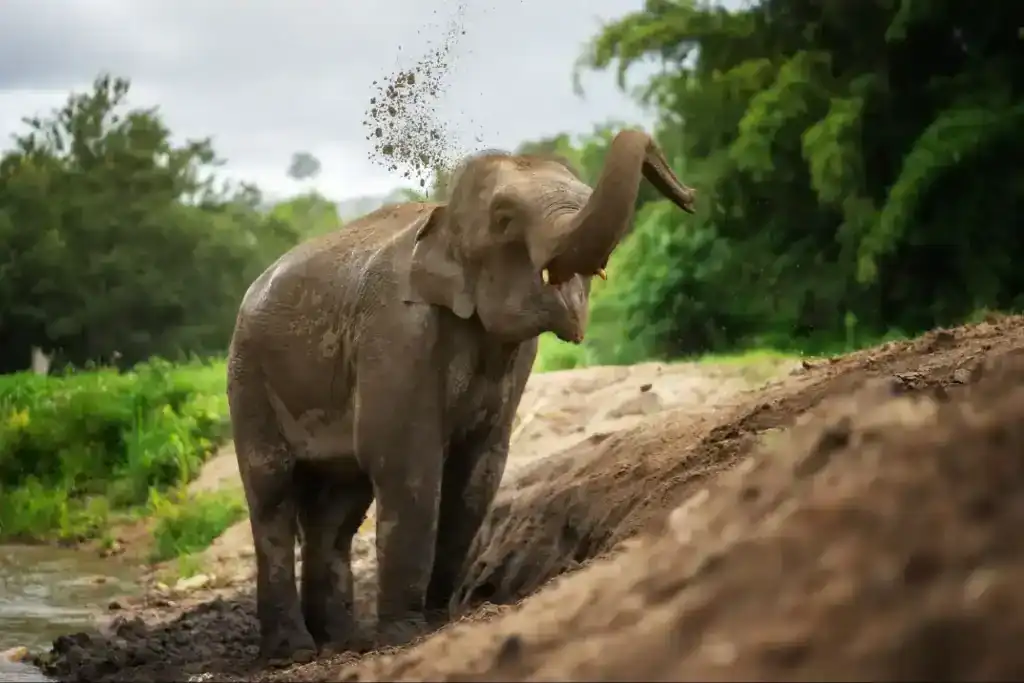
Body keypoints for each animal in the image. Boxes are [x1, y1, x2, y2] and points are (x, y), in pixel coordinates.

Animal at [225, 129, 696, 665]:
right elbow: (405, 464)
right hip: (248, 377)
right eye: (504, 219)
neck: (443, 219)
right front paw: (404, 636)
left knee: (338, 507)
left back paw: (342, 642)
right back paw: (294, 653)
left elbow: (478, 470)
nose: (690, 197)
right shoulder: (396, 335)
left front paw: (438, 621)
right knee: (272, 494)